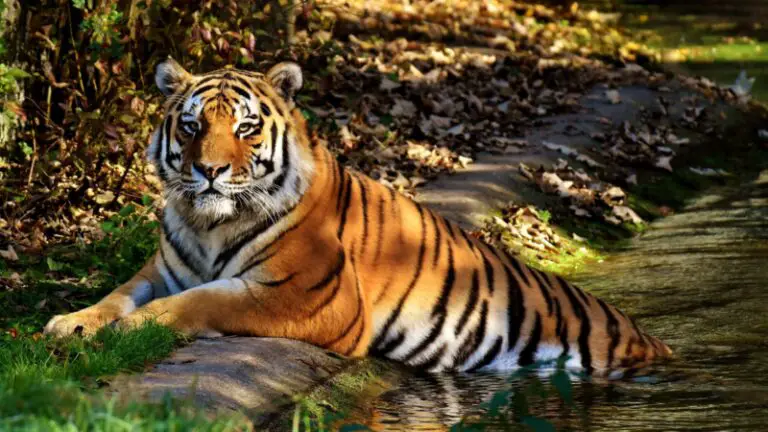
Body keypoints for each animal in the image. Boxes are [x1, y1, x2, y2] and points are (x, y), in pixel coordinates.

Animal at [44, 59, 673, 377]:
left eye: (245, 127)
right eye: (193, 126)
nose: (210, 171)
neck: (209, 224)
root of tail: (653, 342)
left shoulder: (308, 294)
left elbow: (204, 302)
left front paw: (131, 329)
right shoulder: (162, 270)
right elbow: (117, 295)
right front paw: (72, 322)